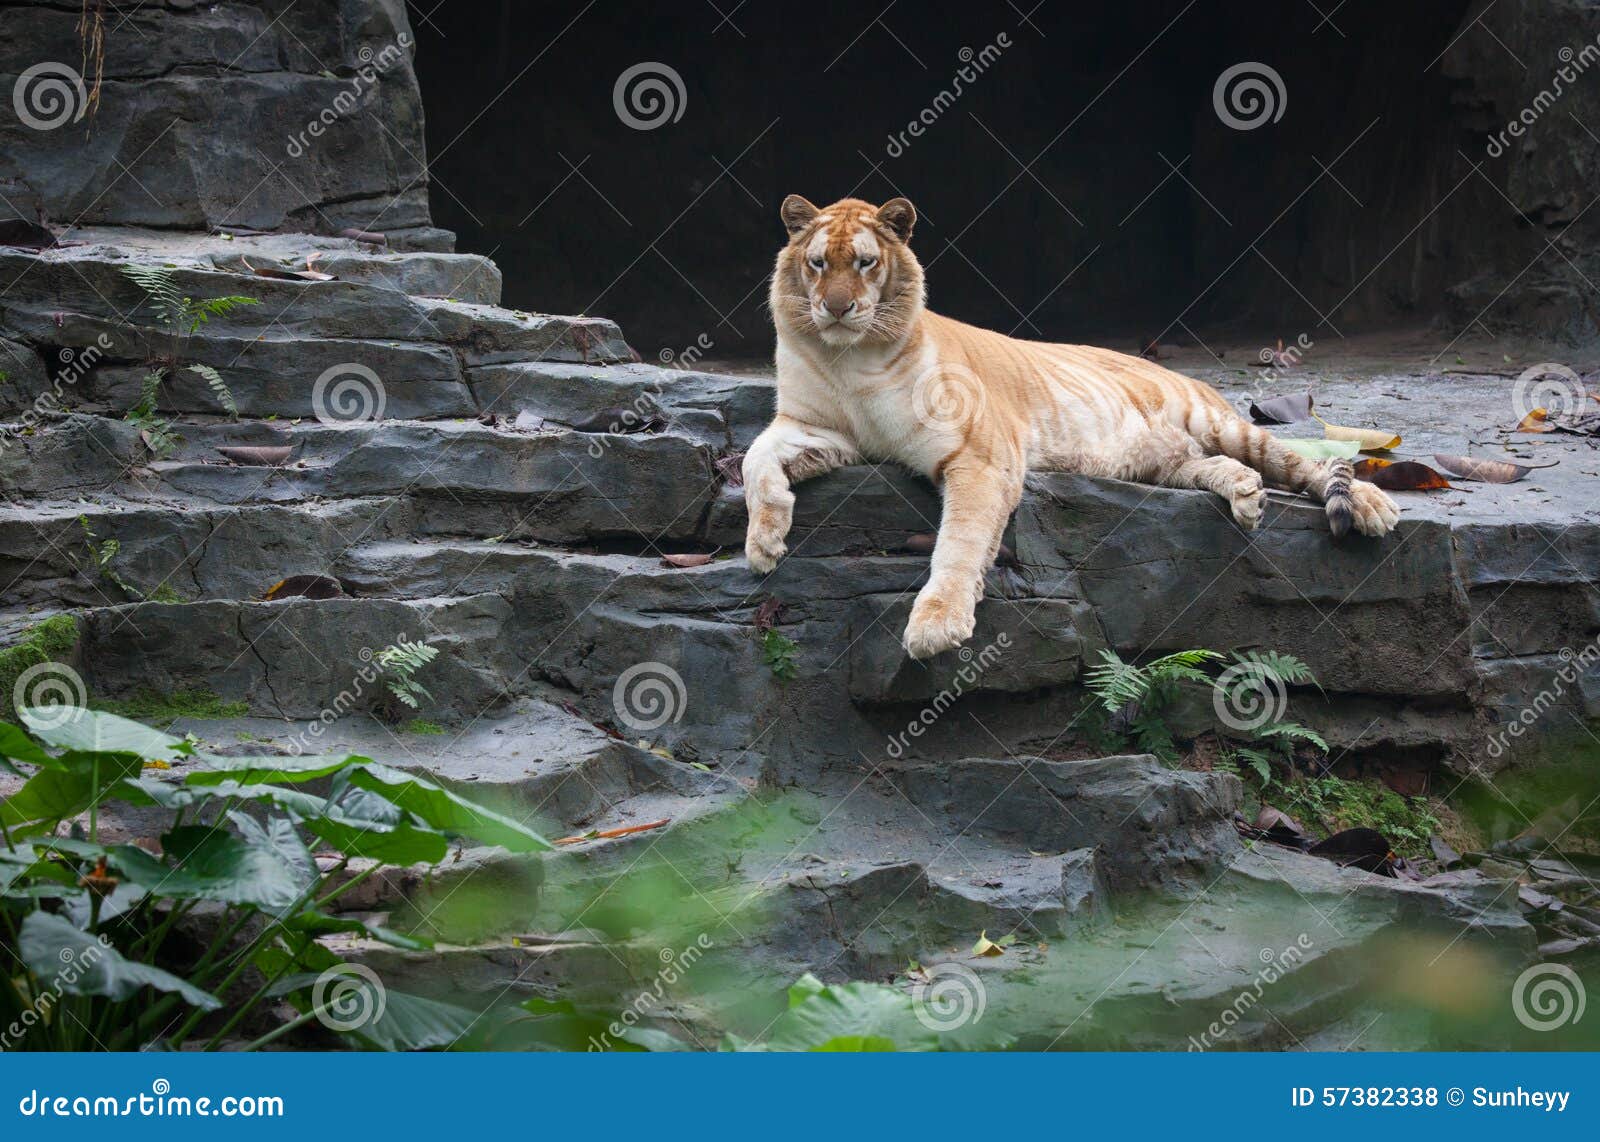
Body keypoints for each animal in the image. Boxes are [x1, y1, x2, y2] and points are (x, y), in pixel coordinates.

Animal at [742, 195, 1400, 660]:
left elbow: (958, 542)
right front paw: (763, 544)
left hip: (1219, 421)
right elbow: (754, 459)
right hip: (1168, 458)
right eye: (818, 264)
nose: (836, 307)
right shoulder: (816, 426)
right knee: (1210, 467)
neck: (847, 359)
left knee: (1302, 463)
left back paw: (1371, 505)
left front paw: (937, 624)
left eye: (866, 263)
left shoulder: (981, 453)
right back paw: (1244, 494)